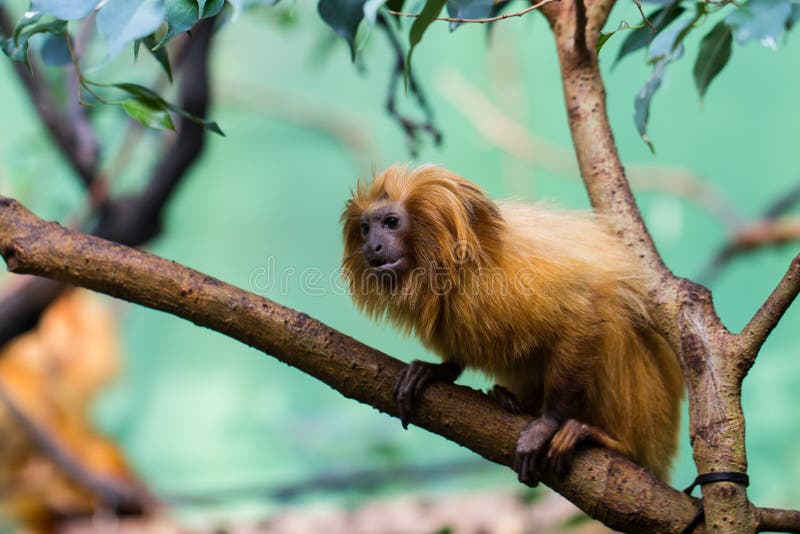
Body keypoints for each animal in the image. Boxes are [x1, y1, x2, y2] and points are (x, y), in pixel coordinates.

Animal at [341, 164, 684, 485]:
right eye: (365, 228)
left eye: (391, 223)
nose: (373, 246)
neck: (458, 269)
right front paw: (437, 370)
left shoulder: (522, 278)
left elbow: (585, 312)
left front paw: (546, 424)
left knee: (614, 323)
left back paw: (604, 439)